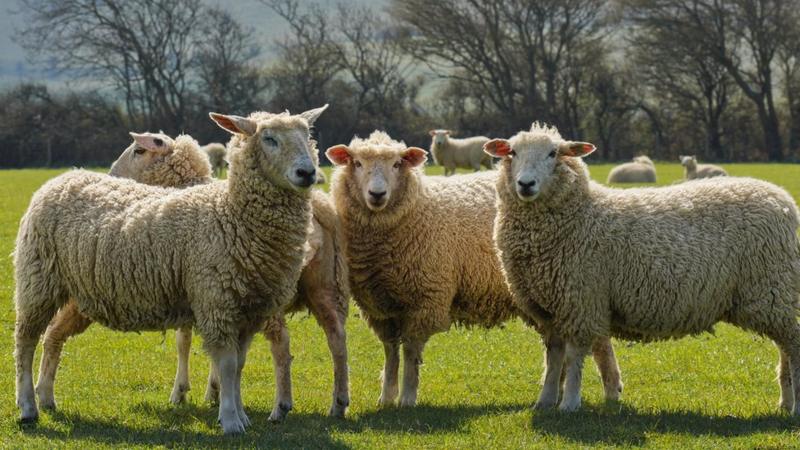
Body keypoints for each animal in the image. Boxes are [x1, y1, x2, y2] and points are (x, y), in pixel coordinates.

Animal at [14, 105, 328, 434]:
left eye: (307, 136)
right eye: (269, 139)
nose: (307, 173)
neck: (229, 215)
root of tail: (64, 177)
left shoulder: (248, 311)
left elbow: (238, 365)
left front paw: (239, 415)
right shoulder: (215, 301)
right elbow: (226, 364)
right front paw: (230, 420)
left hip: (72, 291)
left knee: (49, 336)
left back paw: (46, 398)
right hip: (37, 280)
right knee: (25, 340)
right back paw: (27, 407)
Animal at [326, 130, 622, 408]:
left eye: (398, 164)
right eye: (357, 163)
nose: (377, 194)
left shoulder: (426, 299)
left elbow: (410, 353)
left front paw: (407, 398)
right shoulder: (379, 306)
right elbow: (390, 352)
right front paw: (387, 397)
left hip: (580, 285)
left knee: (598, 341)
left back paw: (611, 389)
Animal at [486, 122, 800, 414]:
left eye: (553, 153)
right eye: (512, 152)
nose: (526, 184)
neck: (580, 215)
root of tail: (784, 201)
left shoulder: (581, 302)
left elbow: (573, 358)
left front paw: (570, 404)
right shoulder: (547, 309)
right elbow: (553, 358)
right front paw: (545, 401)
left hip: (771, 289)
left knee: (793, 343)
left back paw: (795, 406)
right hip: (775, 296)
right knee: (785, 347)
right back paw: (786, 402)